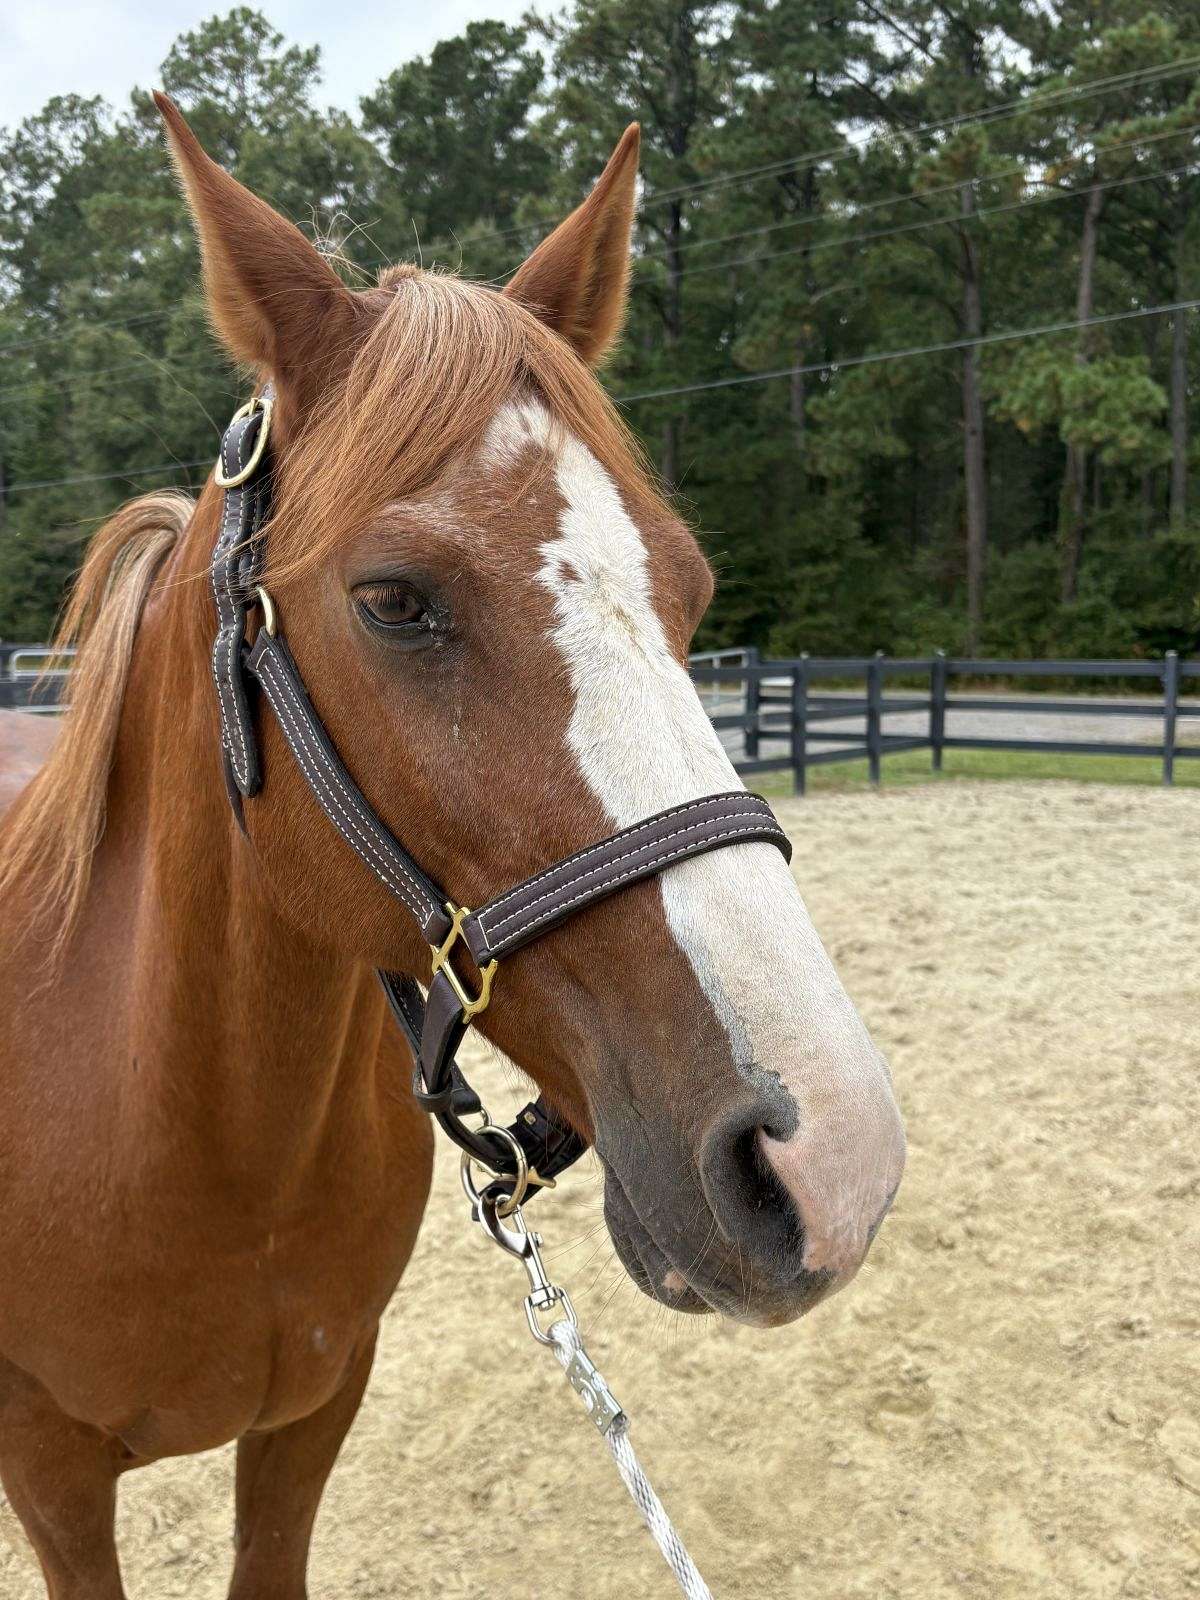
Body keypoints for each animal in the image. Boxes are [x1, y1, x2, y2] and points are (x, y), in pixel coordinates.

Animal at [0, 94, 906, 1599]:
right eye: (393, 601)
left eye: (691, 586)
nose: (829, 1162)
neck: (186, 1136)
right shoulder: (53, 1474)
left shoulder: (310, 1417)